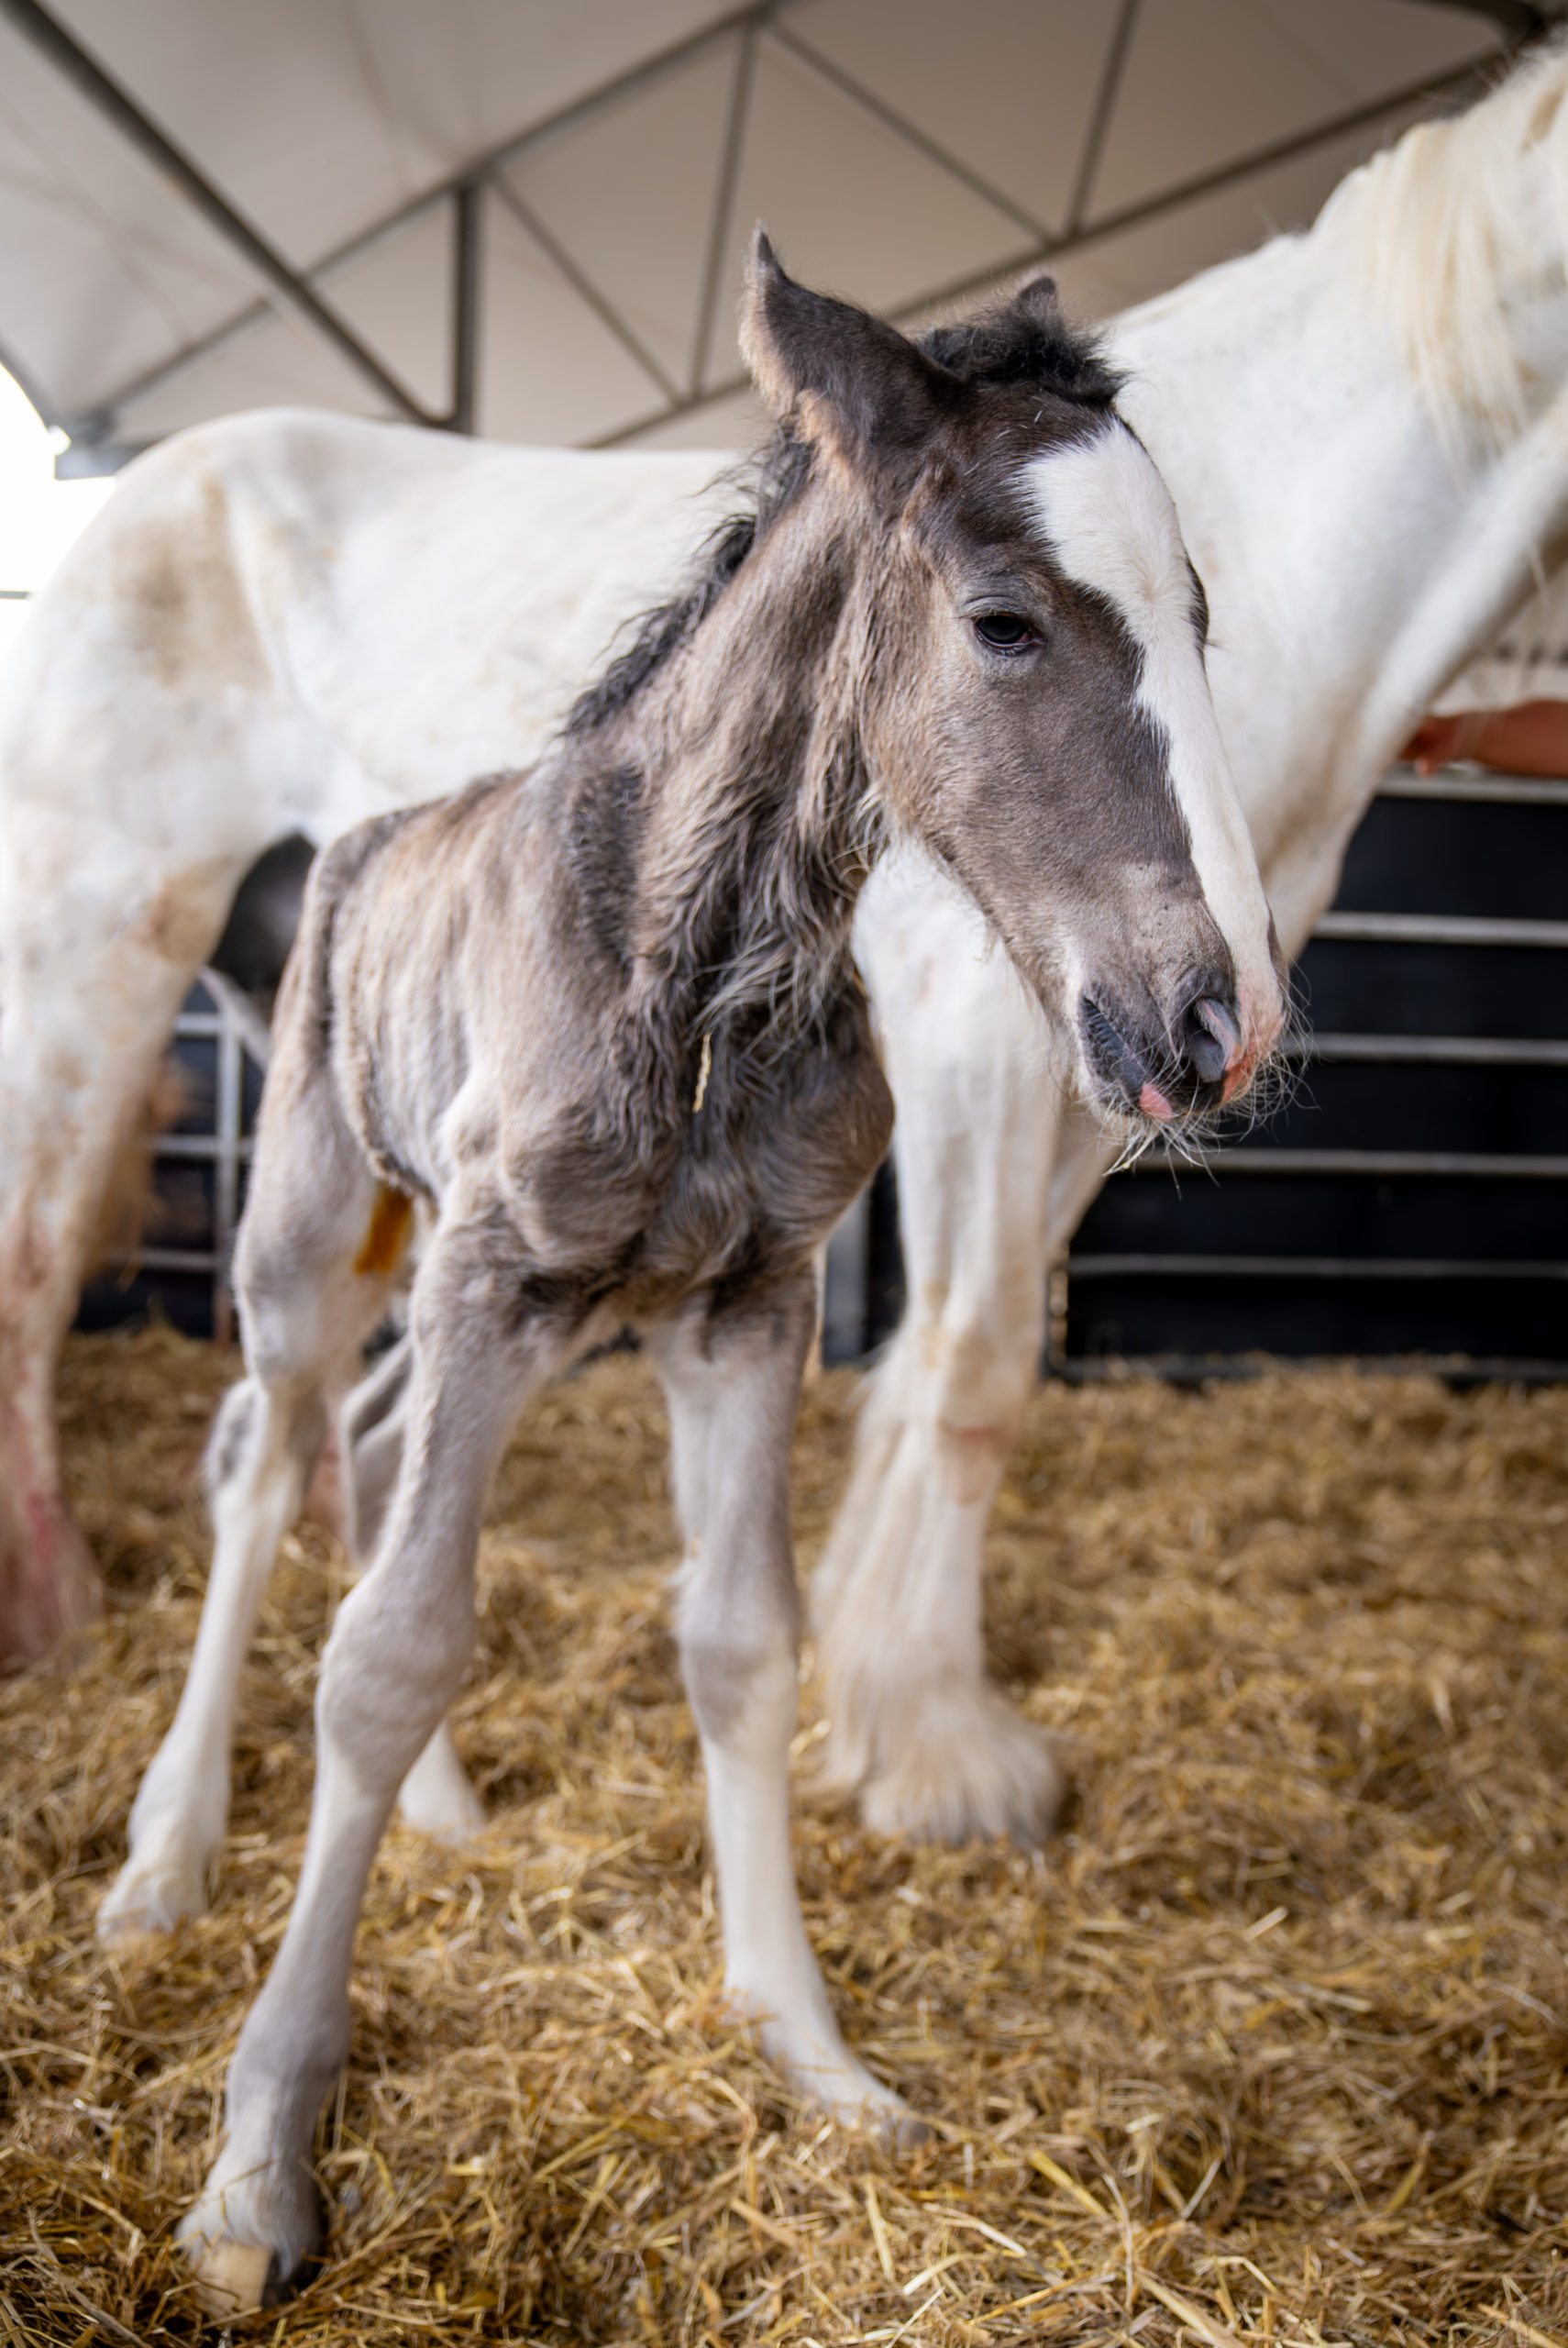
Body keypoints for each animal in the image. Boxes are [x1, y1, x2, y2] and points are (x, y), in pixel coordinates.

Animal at [2, 41, 1565, 1834]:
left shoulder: (1091, 1057)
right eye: (1002, 622)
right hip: (92, 958)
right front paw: (935, 1752)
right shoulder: (985, 1043)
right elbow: (972, 1361)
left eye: (1203, 618)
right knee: (44, 1268)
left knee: (344, 1422)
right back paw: (62, 1629)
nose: (1215, 1019)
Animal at [152, 231, 1280, 2313]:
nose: (1216, 1021)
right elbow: (390, 1649)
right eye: (1005, 621)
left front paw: (811, 2047)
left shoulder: (750, 1304)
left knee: (366, 1452)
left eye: (1200, 619)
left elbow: (742, 1641)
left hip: (494, 1306)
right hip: (326, 1238)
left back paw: (445, 1812)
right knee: (263, 1455)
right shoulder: (496, 1277)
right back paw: (164, 1849)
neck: (691, 973)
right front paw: (260, 2161)